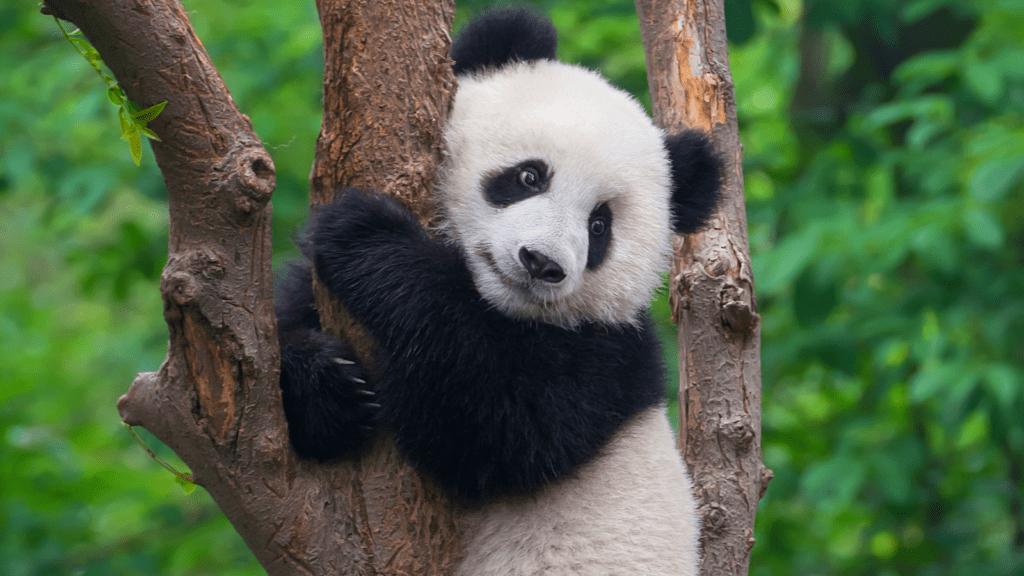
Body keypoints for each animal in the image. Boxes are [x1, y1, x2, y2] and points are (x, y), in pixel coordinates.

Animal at [276, 7, 721, 576]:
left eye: (600, 226)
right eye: (529, 176)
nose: (541, 262)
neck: (495, 304)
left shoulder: (608, 356)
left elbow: (496, 429)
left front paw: (365, 235)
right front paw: (327, 387)